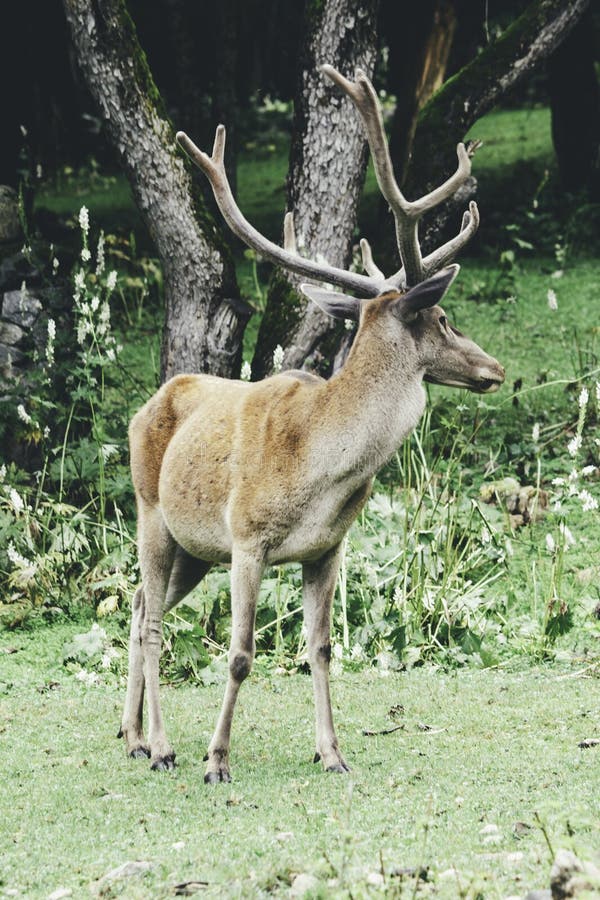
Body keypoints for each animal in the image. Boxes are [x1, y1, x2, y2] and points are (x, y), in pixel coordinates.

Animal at [119, 64, 505, 782]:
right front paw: (217, 759)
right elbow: (241, 653)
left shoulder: (328, 548)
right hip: (151, 512)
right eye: (443, 319)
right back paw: (160, 745)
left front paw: (332, 752)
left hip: (193, 548)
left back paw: (128, 734)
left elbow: (321, 649)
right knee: (153, 621)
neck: (324, 470)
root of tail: (148, 402)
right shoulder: (246, 539)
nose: (492, 368)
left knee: (134, 605)